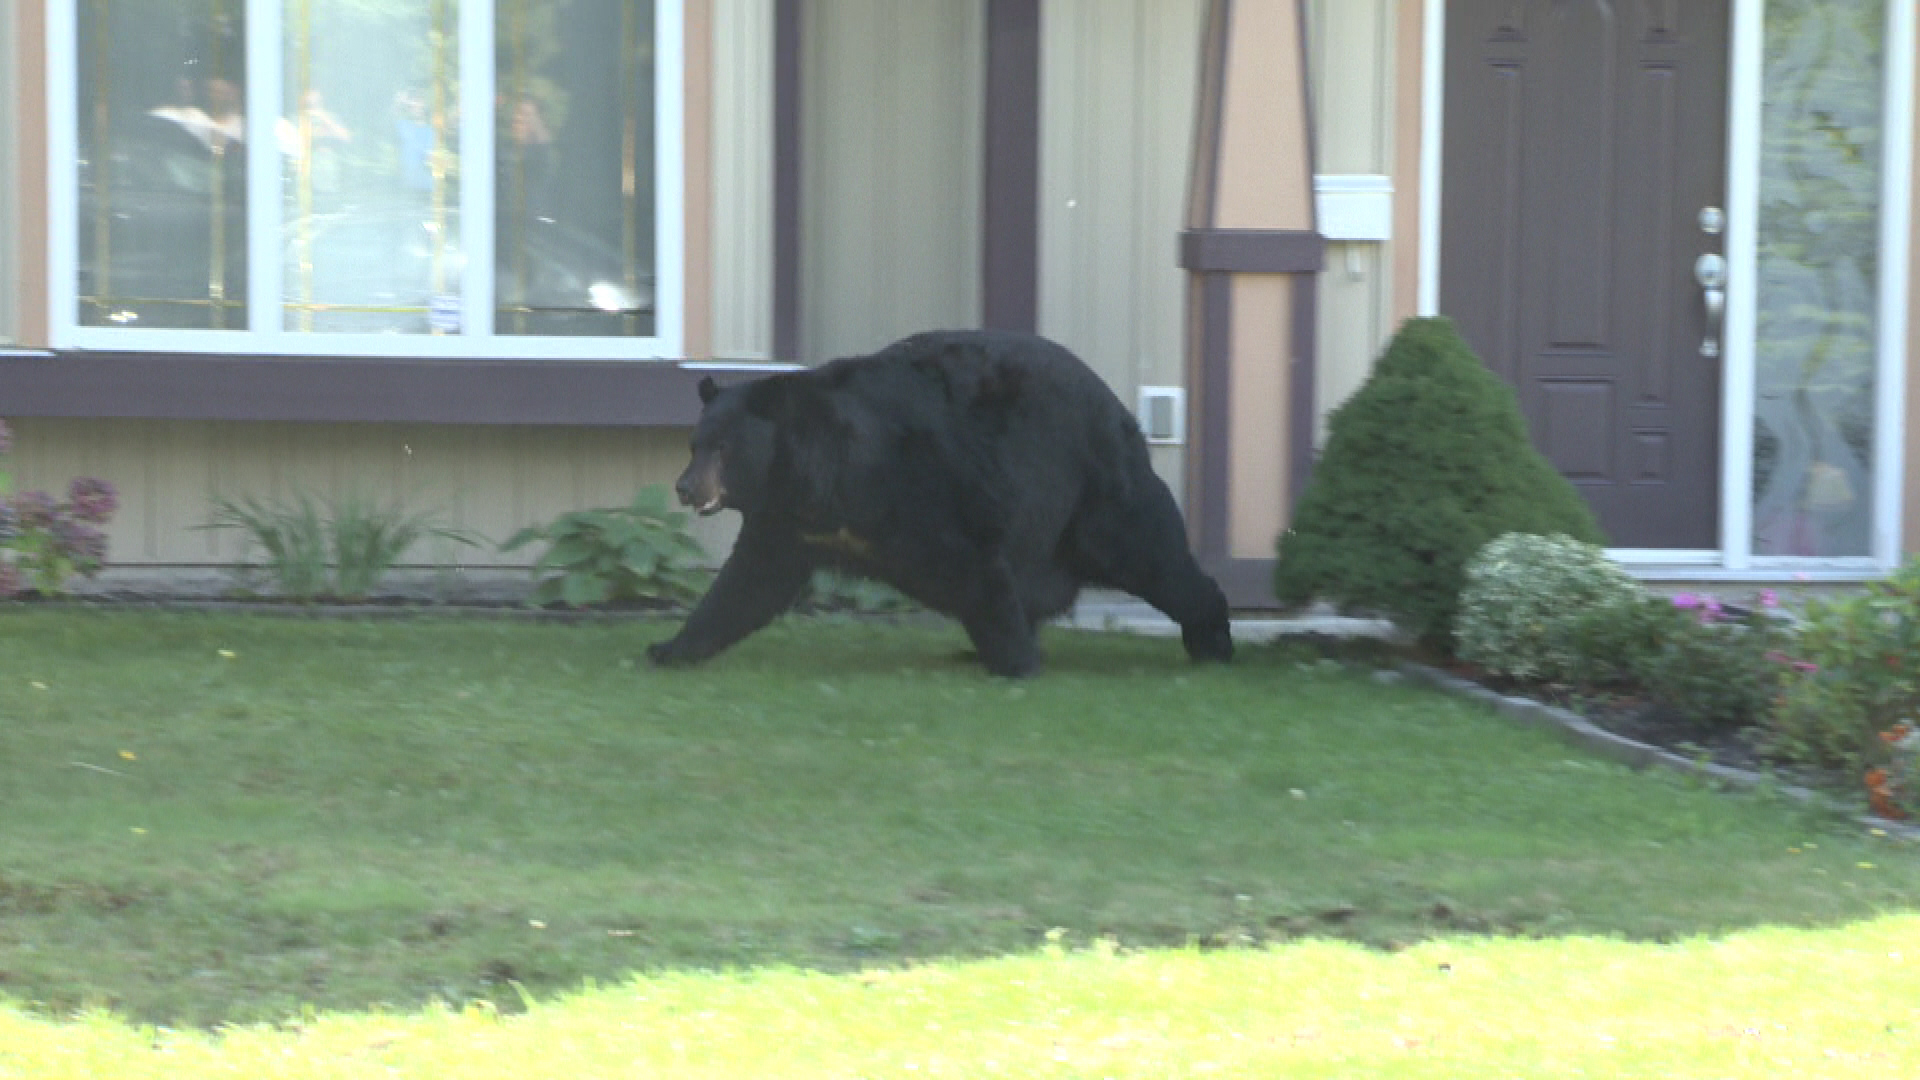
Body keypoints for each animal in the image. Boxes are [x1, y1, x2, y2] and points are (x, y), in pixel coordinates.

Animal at [647, 329, 1234, 676]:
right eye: (695, 444)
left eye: (723, 448)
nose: (685, 486)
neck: (828, 474)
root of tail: (1118, 406)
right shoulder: (787, 521)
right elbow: (746, 584)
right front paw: (670, 648)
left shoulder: (925, 486)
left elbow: (976, 563)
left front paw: (1018, 661)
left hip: (1095, 487)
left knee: (1148, 552)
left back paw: (1211, 637)